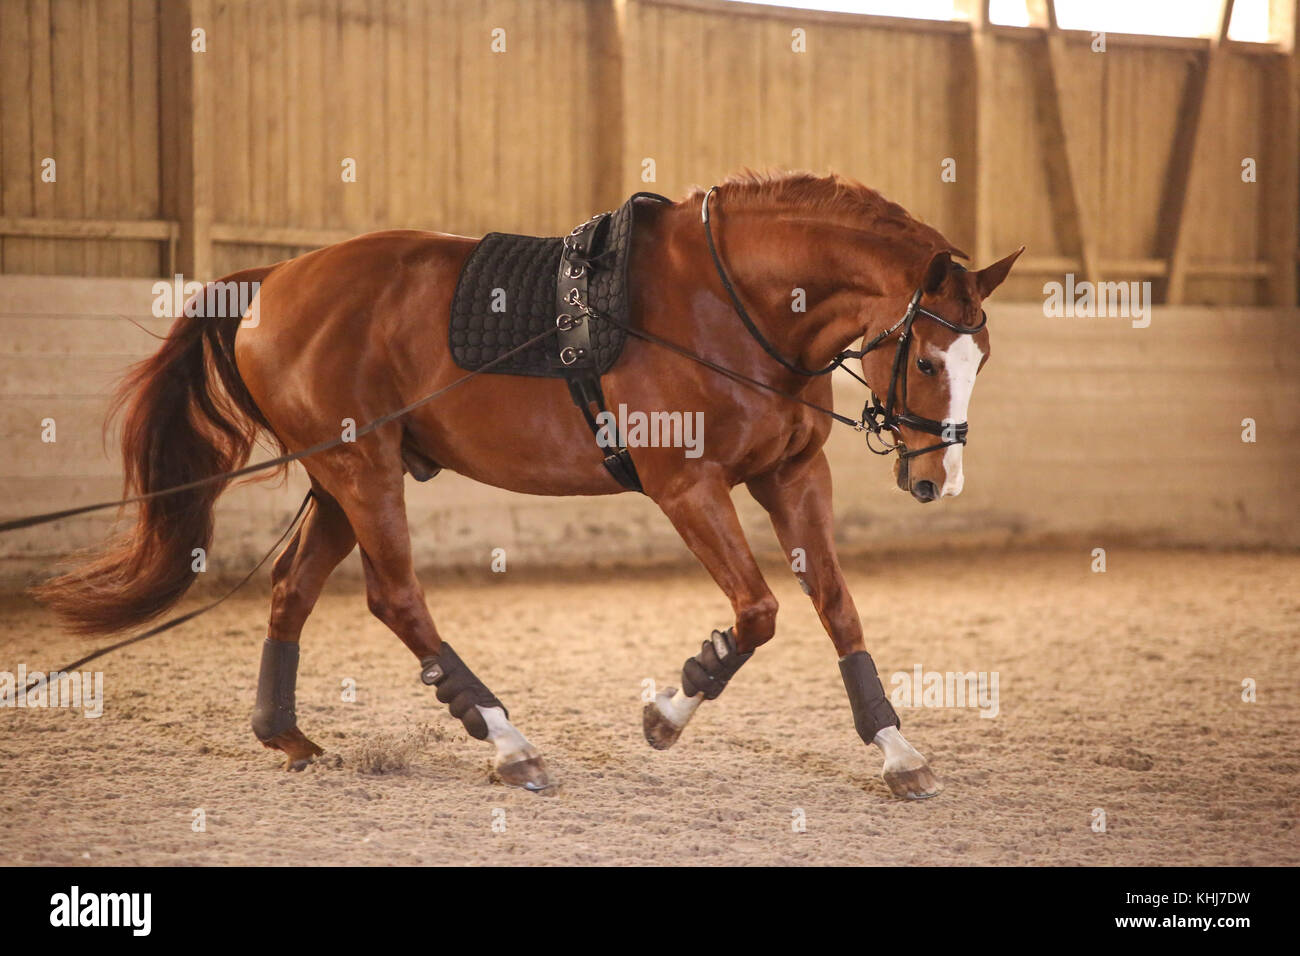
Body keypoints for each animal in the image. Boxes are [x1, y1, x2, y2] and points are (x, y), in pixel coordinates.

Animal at [33, 170, 1021, 799]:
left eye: (980, 358)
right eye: (928, 359)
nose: (936, 478)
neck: (734, 304)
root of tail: (272, 278)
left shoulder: (790, 474)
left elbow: (837, 610)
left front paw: (898, 753)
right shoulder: (687, 486)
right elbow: (757, 612)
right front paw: (670, 709)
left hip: (340, 477)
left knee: (292, 590)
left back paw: (288, 735)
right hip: (362, 472)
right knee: (396, 598)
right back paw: (509, 744)